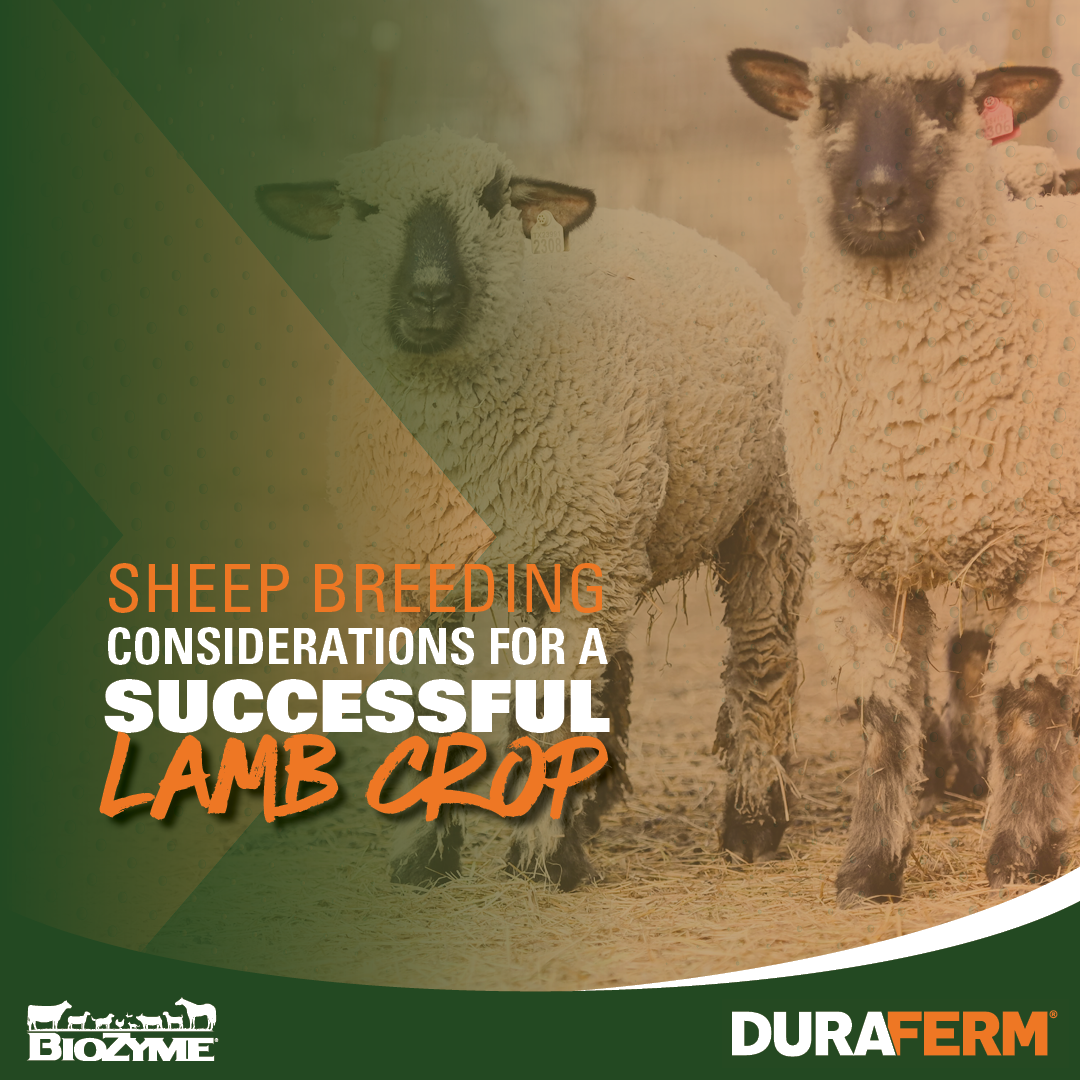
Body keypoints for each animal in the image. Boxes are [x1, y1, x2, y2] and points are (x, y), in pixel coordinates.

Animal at [257, 129, 810, 890]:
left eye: (492, 198)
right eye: (363, 207)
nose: (430, 294)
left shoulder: (587, 558)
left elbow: (554, 705)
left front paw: (546, 856)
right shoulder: (419, 572)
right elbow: (431, 709)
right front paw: (423, 855)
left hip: (758, 513)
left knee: (761, 658)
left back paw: (752, 823)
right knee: (611, 677)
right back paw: (597, 805)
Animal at [730, 33, 1078, 905]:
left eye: (944, 102)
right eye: (829, 102)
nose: (880, 196)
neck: (911, 416)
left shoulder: (1058, 552)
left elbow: (1030, 701)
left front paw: (1018, 855)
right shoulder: (862, 563)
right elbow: (886, 718)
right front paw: (868, 868)